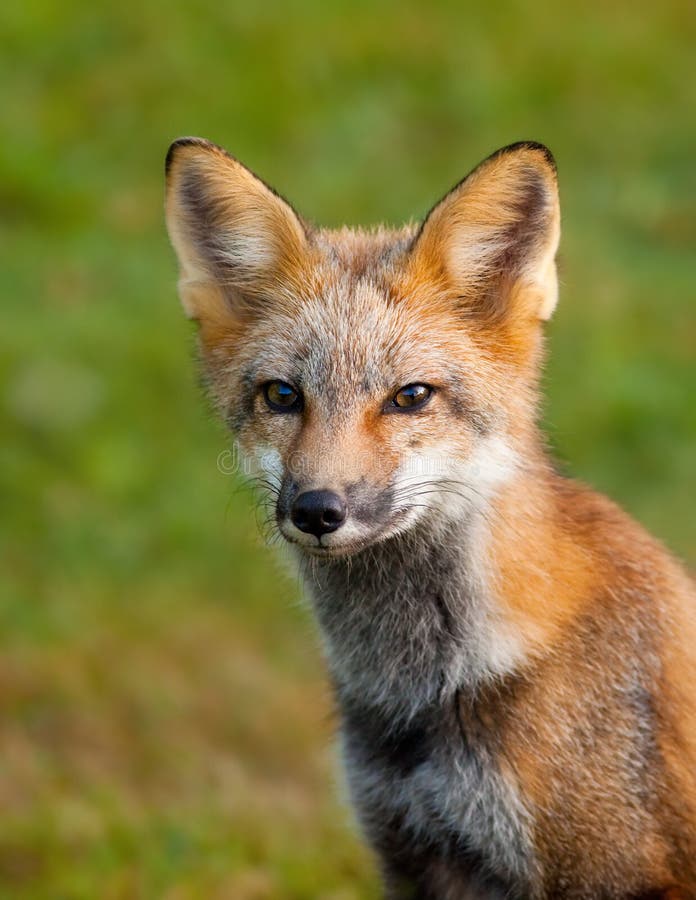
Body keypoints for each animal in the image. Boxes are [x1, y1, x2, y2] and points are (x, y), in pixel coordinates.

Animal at [164, 137, 696, 899]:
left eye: (411, 396)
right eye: (282, 395)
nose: (317, 509)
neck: (419, 698)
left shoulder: (611, 868)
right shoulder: (411, 851)